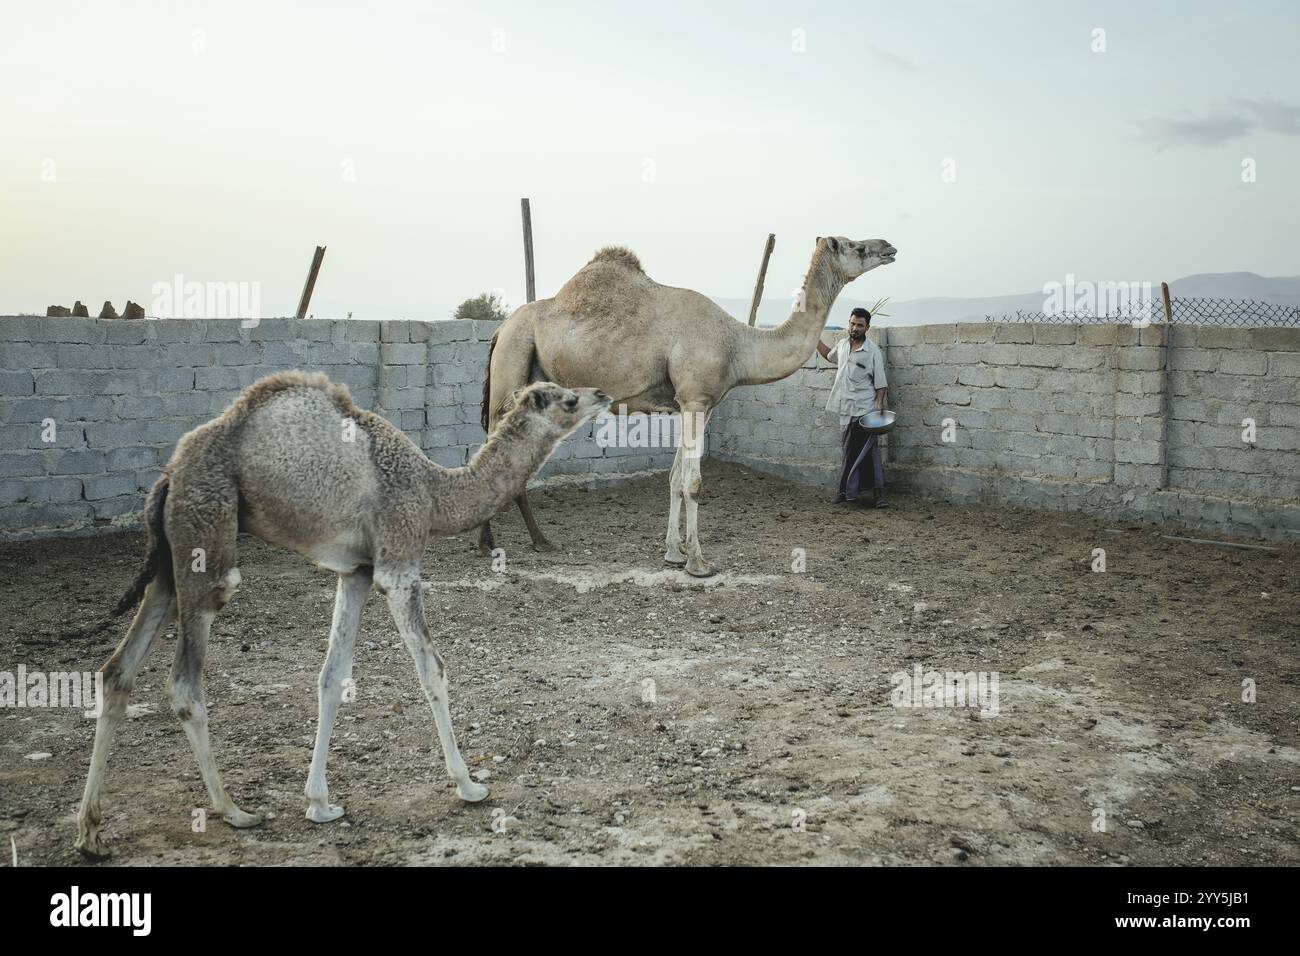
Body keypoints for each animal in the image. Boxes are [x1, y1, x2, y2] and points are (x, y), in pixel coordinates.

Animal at [75, 371, 609, 856]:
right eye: (566, 399)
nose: (601, 393)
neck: (435, 492)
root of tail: (168, 475)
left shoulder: (356, 571)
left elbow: (332, 677)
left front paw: (319, 803)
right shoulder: (397, 561)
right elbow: (432, 669)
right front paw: (469, 784)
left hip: (171, 562)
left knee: (116, 671)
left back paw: (91, 832)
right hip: (206, 540)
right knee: (185, 684)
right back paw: (233, 811)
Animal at [479, 235, 897, 576]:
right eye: (856, 246)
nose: (889, 247)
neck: (738, 345)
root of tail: (500, 328)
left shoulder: (697, 404)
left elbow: (675, 478)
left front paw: (673, 553)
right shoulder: (695, 398)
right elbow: (693, 482)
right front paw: (698, 562)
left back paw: (528, 540)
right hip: (512, 363)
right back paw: (500, 542)